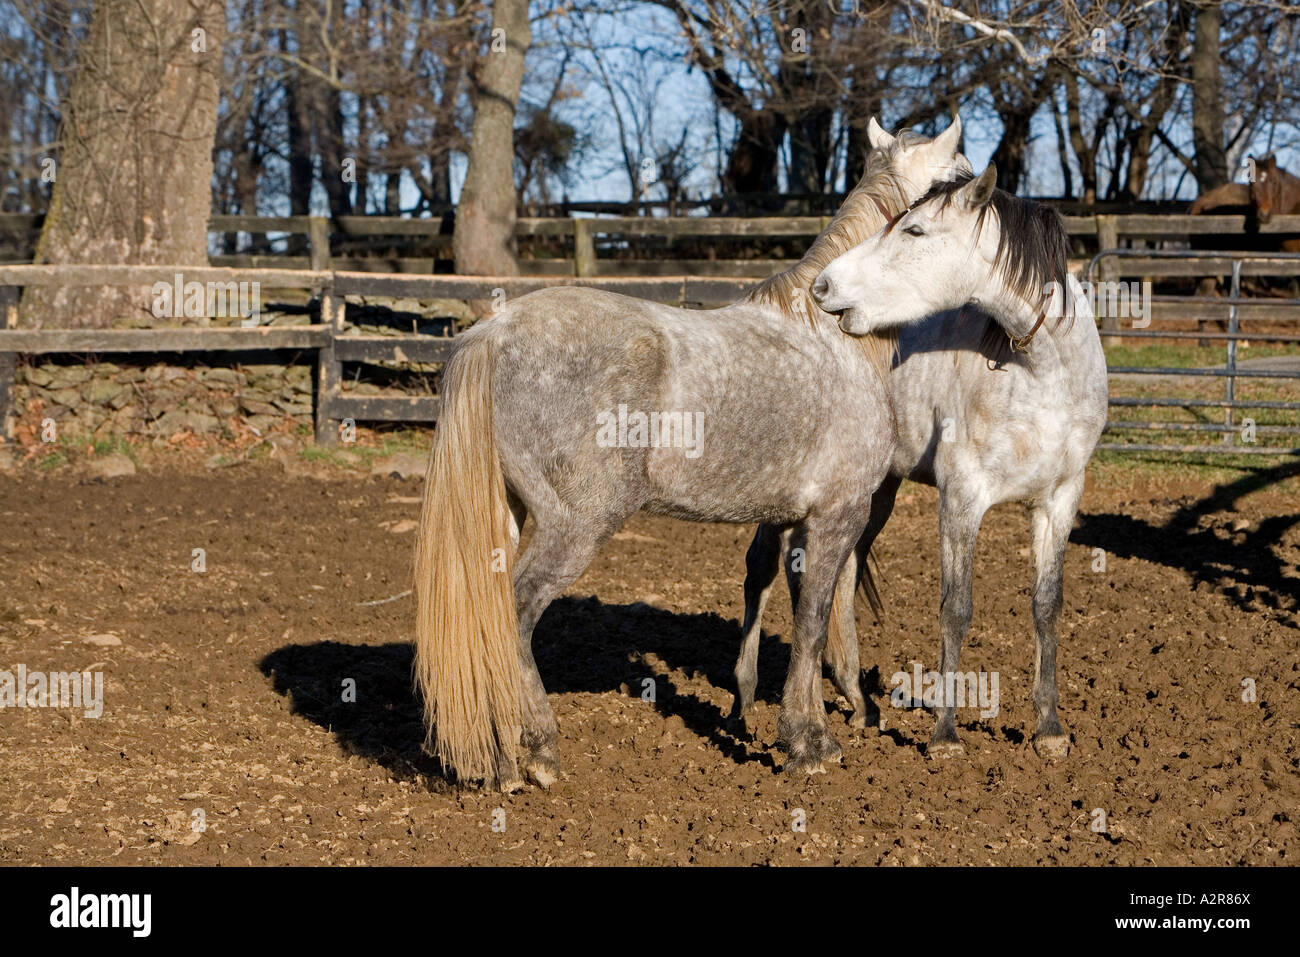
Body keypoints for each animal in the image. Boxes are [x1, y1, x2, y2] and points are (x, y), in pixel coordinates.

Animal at [413, 118, 972, 789]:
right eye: (966, 181)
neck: (832, 336)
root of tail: (493, 333)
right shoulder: (839, 516)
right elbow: (813, 621)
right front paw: (808, 743)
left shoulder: (791, 521)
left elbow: (790, 607)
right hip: (573, 527)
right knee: (514, 616)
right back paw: (537, 752)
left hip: (509, 514)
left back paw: (504, 759)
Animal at [743, 164, 1107, 760]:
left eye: (914, 230)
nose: (826, 287)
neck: (1041, 374)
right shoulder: (962, 496)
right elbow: (956, 609)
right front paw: (945, 734)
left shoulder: (1060, 499)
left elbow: (1046, 605)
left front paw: (1049, 728)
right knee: (765, 569)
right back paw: (746, 697)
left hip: (874, 491)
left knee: (836, 575)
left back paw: (858, 702)